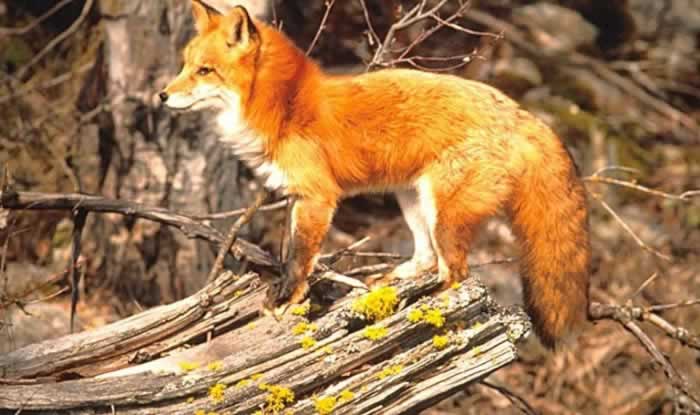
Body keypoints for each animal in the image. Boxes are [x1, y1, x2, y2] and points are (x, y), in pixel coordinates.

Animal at [161, 0, 591, 348]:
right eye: (184, 65)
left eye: (205, 71)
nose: (161, 96)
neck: (285, 107)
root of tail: (519, 112)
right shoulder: (298, 198)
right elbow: (291, 256)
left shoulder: (317, 197)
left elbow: (299, 258)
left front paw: (286, 299)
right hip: (413, 202)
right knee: (426, 260)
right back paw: (390, 289)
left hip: (444, 214)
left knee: (456, 275)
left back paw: (423, 307)